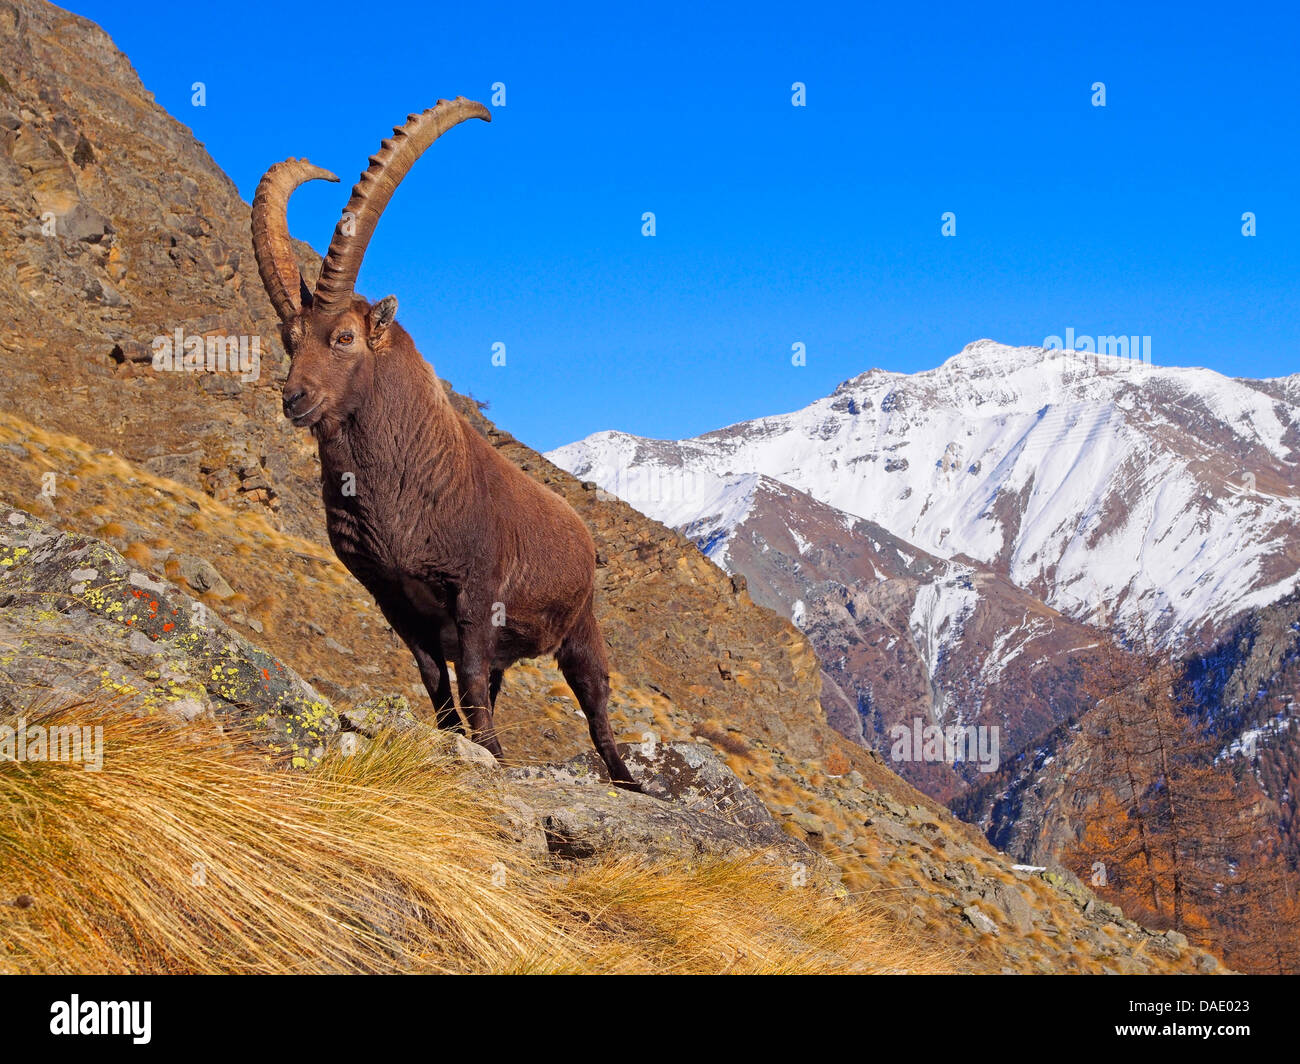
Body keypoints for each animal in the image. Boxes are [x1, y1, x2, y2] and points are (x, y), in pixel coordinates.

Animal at [250, 99, 638, 788]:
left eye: (344, 337)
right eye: (290, 339)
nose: (295, 399)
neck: (400, 493)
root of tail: (580, 528)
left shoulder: (475, 593)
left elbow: (473, 674)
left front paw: (492, 752)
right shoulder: (393, 597)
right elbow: (436, 676)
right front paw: (454, 740)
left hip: (581, 626)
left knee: (594, 697)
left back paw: (626, 778)